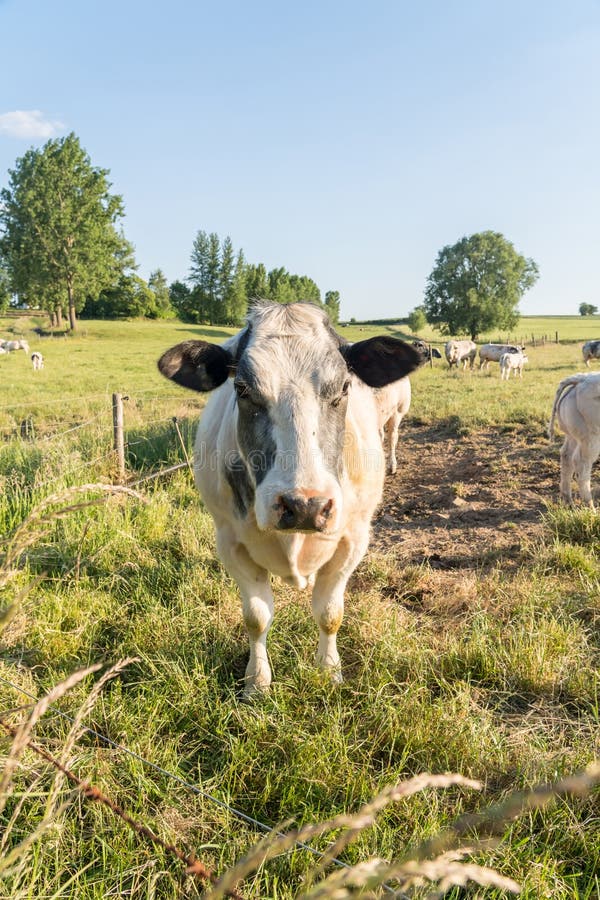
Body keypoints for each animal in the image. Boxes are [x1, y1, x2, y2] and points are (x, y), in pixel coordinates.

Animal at [158, 301, 421, 695]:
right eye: (242, 388)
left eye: (344, 386)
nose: (305, 506)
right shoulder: (229, 542)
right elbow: (256, 617)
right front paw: (257, 681)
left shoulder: (354, 539)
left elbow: (330, 614)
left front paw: (328, 670)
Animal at [548, 372, 600, 506]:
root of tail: (582, 379)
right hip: (591, 438)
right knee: (581, 464)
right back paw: (589, 506)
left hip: (573, 436)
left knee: (566, 455)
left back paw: (568, 501)